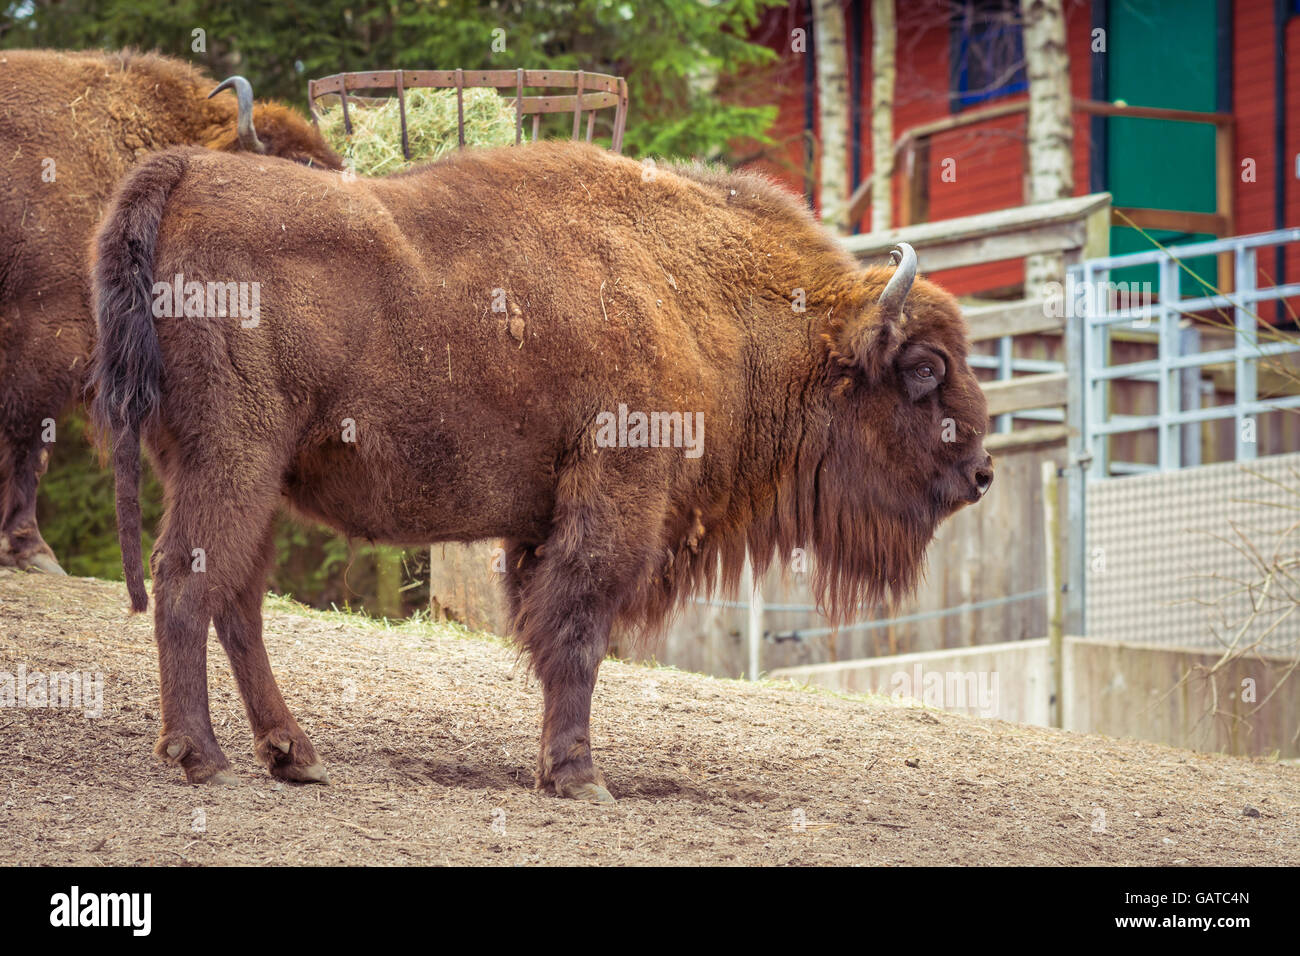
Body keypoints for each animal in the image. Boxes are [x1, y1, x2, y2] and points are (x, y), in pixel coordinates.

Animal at [89, 141, 991, 801]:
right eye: (923, 368)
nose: (980, 473)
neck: (694, 294)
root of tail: (186, 171)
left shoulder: (541, 523)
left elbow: (551, 627)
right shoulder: (619, 493)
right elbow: (579, 632)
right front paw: (579, 779)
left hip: (247, 476)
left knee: (237, 599)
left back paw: (293, 755)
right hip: (231, 461)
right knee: (187, 582)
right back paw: (200, 756)